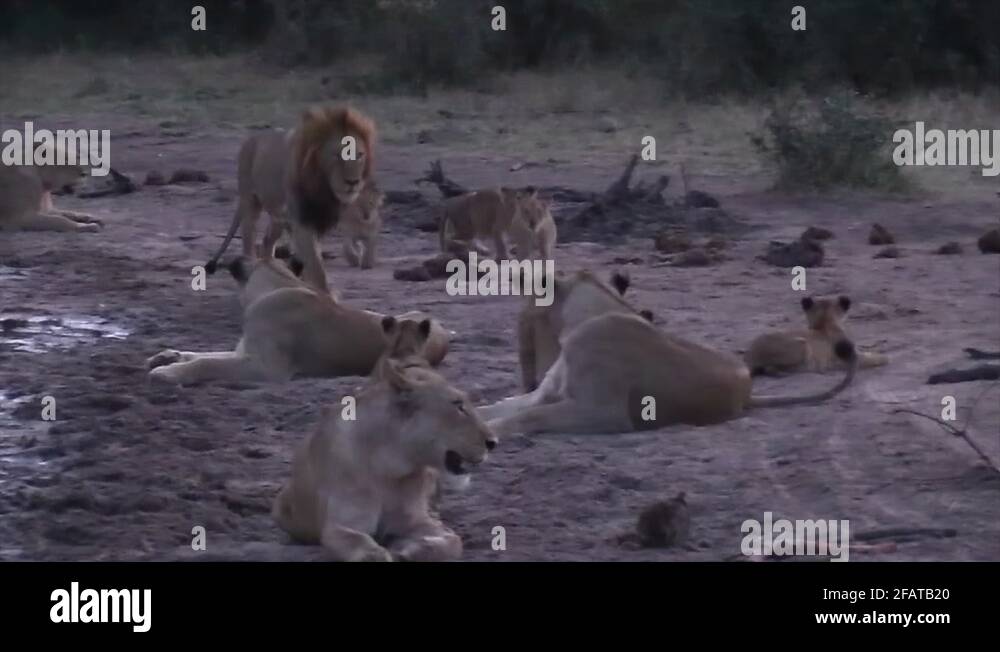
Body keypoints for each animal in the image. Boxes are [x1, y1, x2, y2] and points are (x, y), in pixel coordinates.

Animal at [147, 256, 448, 385]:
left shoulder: (268, 369)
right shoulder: (244, 352)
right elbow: (201, 354)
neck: (277, 283)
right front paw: (166, 356)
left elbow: (207, 363)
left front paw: (167, 373)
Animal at [204, 105, 376, 294]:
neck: (323, 186)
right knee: (249, 241)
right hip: (250, 201)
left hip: (278, 218)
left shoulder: (316, 218)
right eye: (337, 155)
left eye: (359, 154)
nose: (353, 182)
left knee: (267, 242)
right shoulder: (302, 221)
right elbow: (316, 266)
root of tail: (251, 138)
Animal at [272, 356, 498, 562]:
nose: (493, 442)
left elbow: (452, 540)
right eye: (458, 405)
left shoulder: (417, 520)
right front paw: (379, 553)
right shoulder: (341, 525)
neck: (390, 466)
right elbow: (359, 544)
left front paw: (411, 550)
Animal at [480, 277, 859, 436]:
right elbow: (503, 405)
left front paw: (492, 432)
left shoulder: (605, 413)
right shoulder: (545, 394)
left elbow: (529, 416)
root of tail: (748, 393)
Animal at [744, 295, 888, 376]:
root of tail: (751, 355)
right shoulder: (849, 357)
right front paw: (886, 357)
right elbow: (874, 358)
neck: (824, 323)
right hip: (802, 344)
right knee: (770, 368)